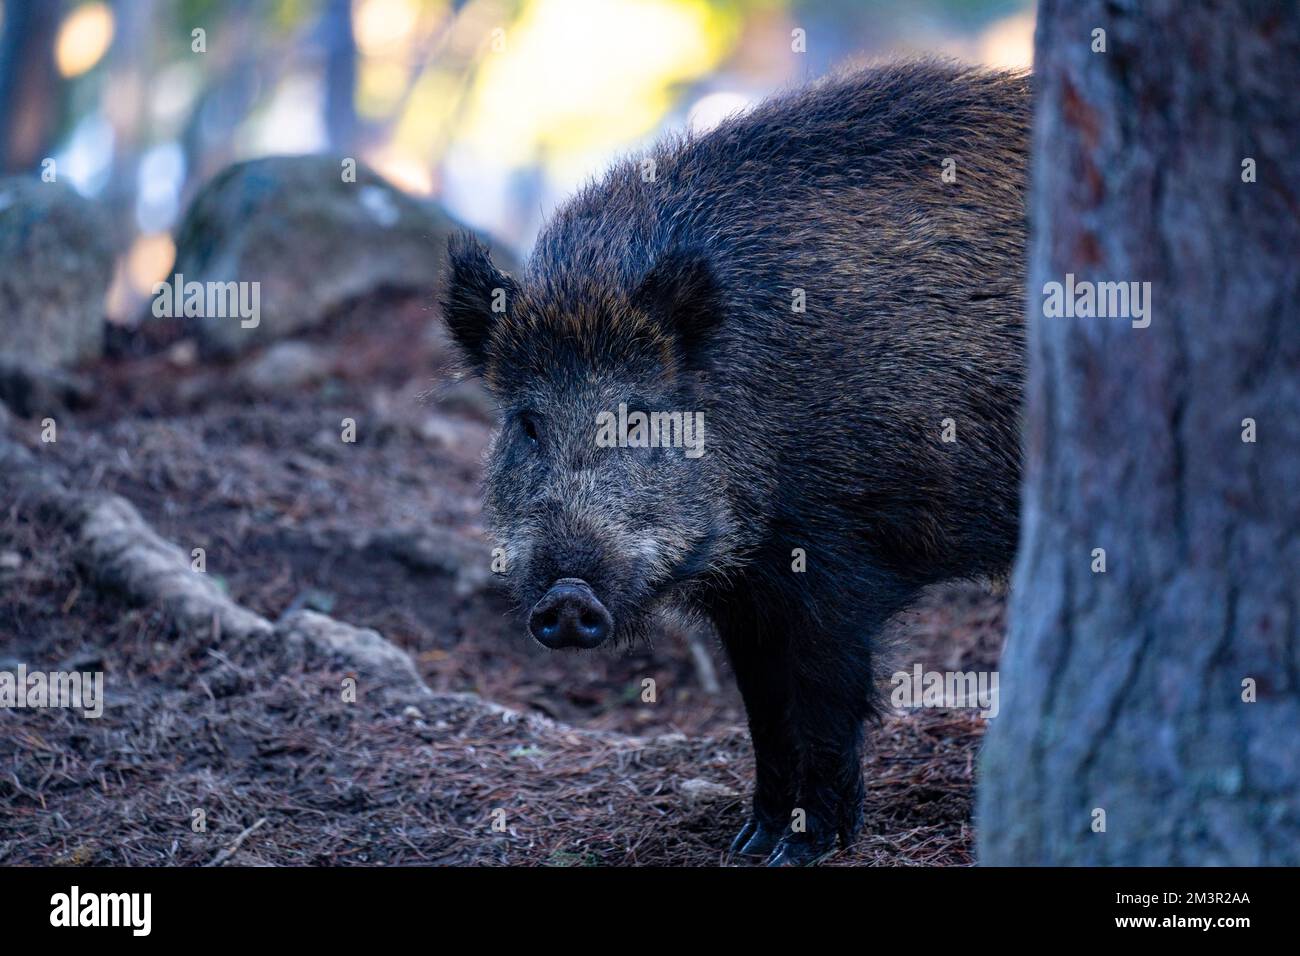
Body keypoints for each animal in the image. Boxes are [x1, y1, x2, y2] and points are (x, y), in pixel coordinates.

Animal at [442, 60, 1029, 865]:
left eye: (638, 414)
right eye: (527, 423)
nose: (567, 596)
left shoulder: (835, 559)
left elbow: (826, 705)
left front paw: (803, 849)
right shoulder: (747, 594)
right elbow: (764, 715)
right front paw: (750, 843)